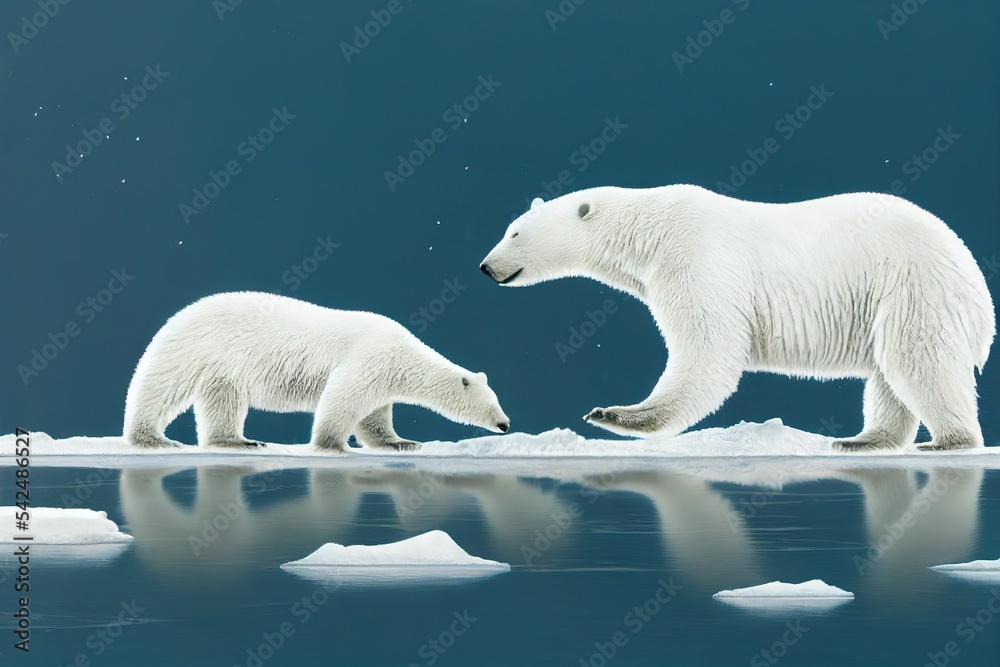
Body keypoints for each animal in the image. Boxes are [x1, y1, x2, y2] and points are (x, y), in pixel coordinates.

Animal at [123, 292, 510, 452]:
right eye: (492, 404)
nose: (506, 424)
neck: (403, 353)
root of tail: (180, 314)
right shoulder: (369, 360)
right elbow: (342, 398)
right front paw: (334, 445)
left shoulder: (382, 379)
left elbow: (374, 417)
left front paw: (402, 442)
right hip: (198, 347)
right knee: (160, 387)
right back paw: (152, 437)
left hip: (222, 369)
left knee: (223, 401)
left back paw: (239, 440)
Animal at [480, 185, 995, 451]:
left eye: (515, 233)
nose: (486, 266)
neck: (650, 226)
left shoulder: (695, 257)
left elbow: (709, 351)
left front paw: (616, 414)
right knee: (889, 372)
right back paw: (864, 440)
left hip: (912, 283)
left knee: (918, 359)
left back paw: (949, 441)